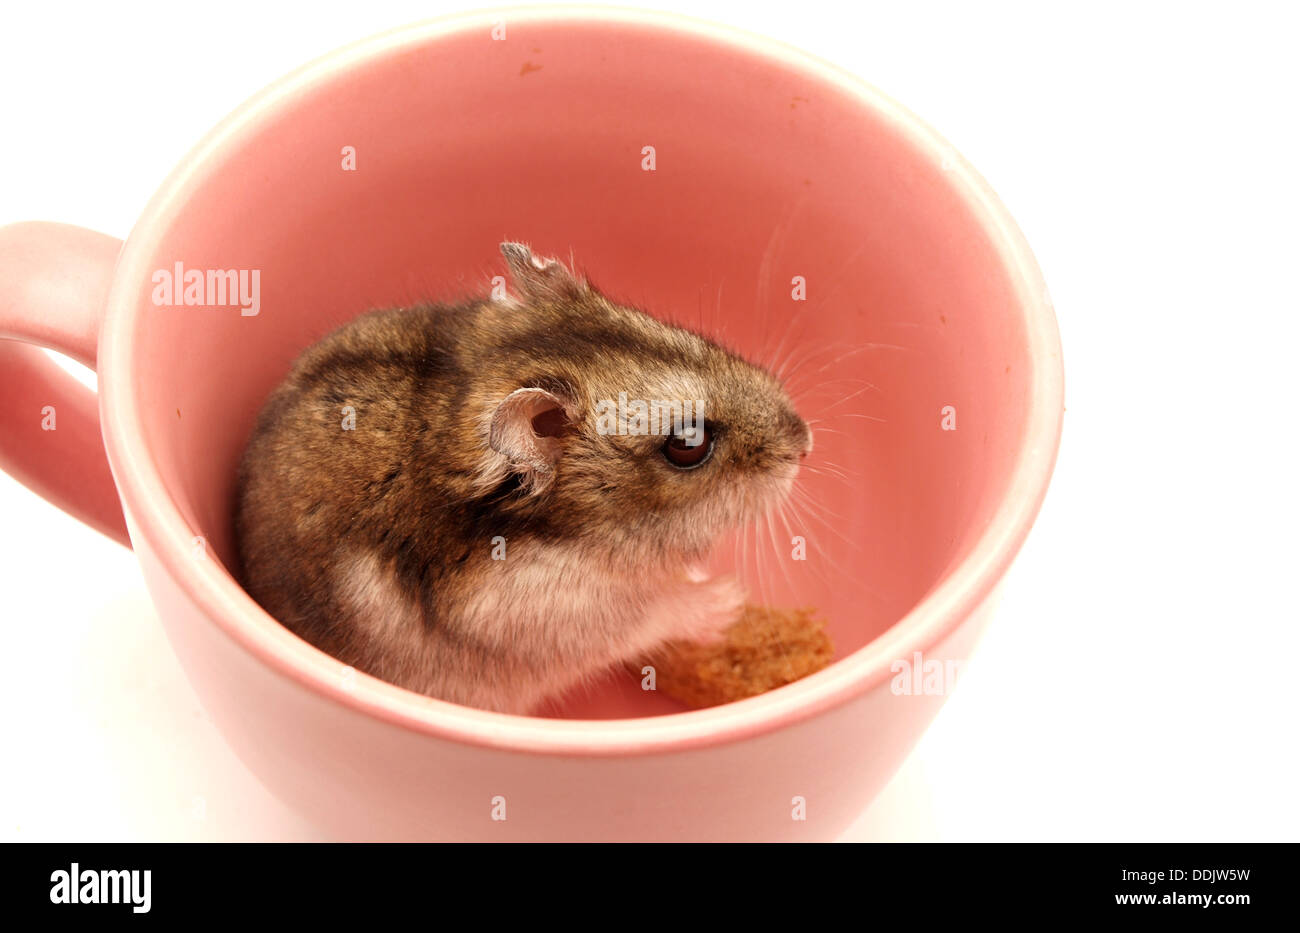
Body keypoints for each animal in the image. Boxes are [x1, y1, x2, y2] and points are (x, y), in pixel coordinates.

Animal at [233, 243, 812, 714]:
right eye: (688, 445)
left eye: (683, 336)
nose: (805, 439)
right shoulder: (557, 614)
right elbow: (650, 614)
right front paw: (726, 600)